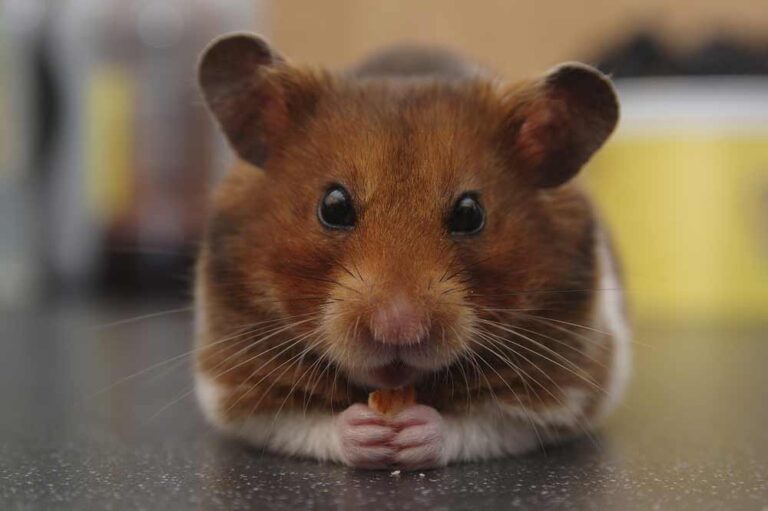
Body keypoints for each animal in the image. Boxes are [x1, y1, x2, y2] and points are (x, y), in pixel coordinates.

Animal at [193, 33, 631, 470]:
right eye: (333, 206)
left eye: (470, 213)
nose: (398, 329)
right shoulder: (232, 387)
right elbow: (302, 422)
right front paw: (367, 432)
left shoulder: (567, 392)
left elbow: (481, 424)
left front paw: (412, 432)